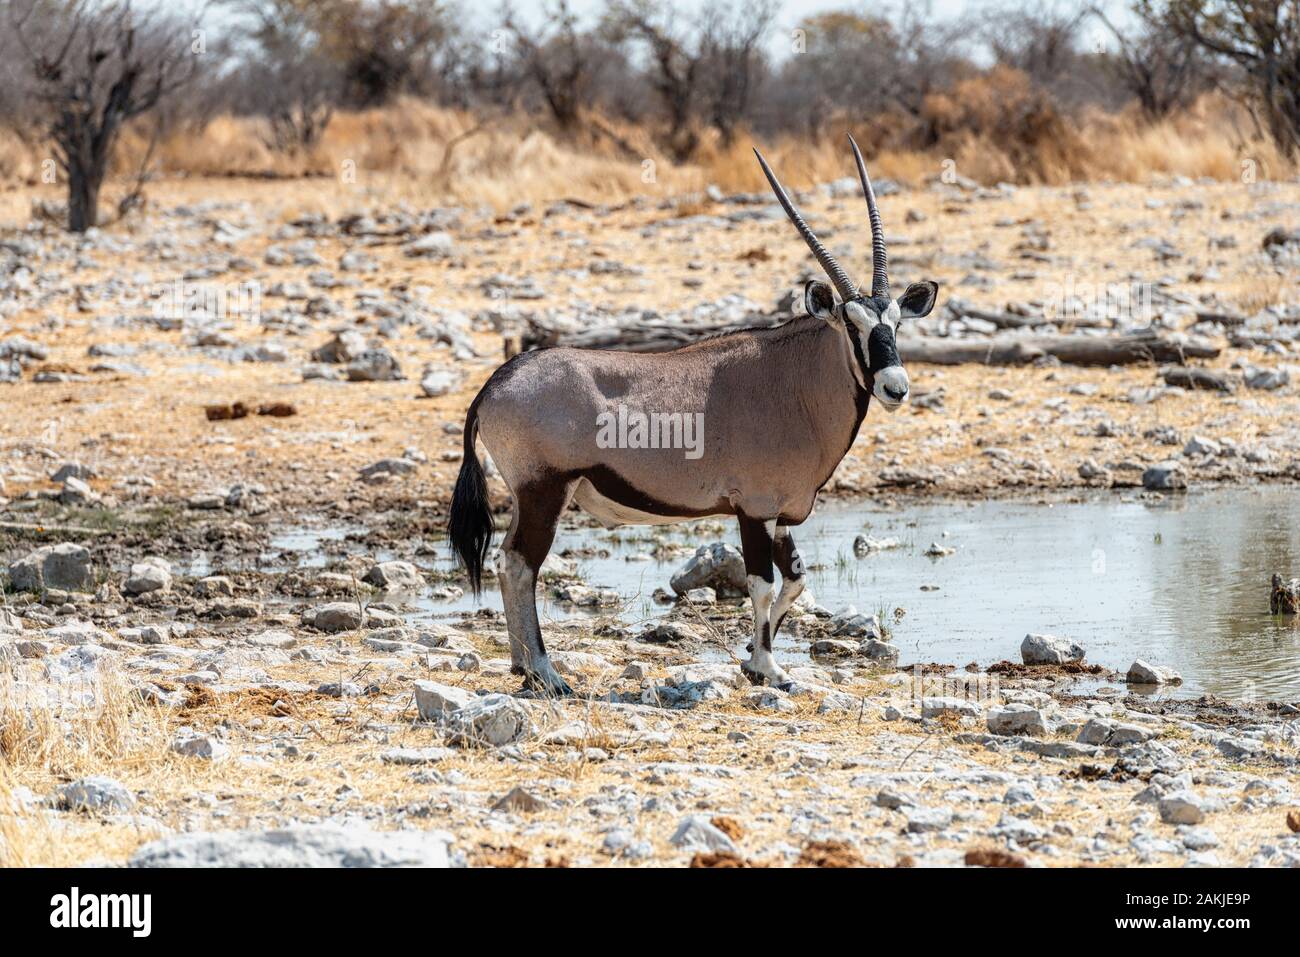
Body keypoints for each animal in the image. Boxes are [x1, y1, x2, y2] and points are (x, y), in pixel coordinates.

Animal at [449, 136, 939, 695]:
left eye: (895, 323)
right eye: (851, 325)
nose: (895, 386)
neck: (793, 378)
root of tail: (495, 383)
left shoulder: (780, 514)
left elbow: (796, 581)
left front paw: (753, 660)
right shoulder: (754, 509)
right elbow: (762, 584)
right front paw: (768, 669)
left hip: (533, 495)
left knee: (507, 562)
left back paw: (522, 666)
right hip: (544, 491)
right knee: (518, 564)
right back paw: (546, 674)